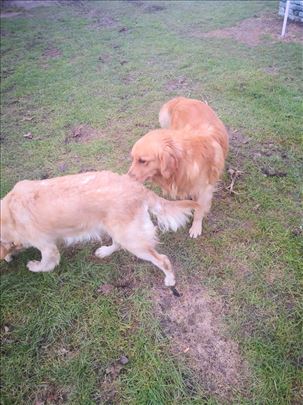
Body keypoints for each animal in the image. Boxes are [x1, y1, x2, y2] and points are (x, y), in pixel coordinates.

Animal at [0, 169, 200, 286]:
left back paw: (170, 280)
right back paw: (105, 251)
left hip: (133, 239)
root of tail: (137, 187)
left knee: (163, 260)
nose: (8, 261)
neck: (9, 212)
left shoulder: (47, 247)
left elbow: (45, 264)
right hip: (118, 228)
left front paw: (33, 266)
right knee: (117, 244)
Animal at [127, 96, 229, 237]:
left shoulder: (205, 189)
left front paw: (196, 227)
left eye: (142, 161)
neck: (182, 160)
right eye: (133, 158)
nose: (127, 177)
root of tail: (183, 98)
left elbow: (199, 210)